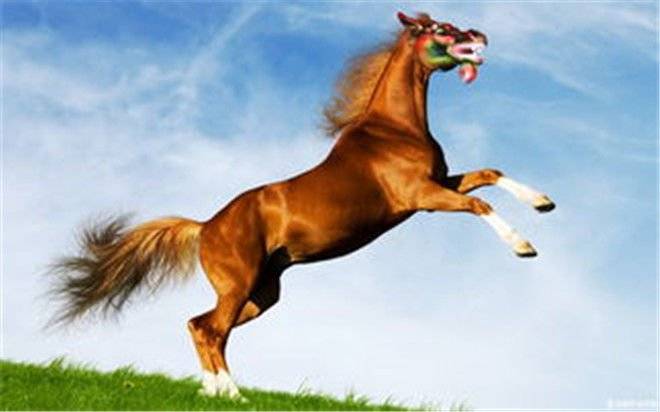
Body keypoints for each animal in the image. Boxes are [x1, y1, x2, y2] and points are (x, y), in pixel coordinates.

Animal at [49, 11, 555, 399]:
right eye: (443, 31)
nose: (481, 37)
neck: (394, 129)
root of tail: (205, 225)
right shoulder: (422, 196)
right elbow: (479, 206)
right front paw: (524, 246)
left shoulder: (439, 184)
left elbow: (489, 173)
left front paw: (543, 202)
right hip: (239, 286)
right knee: (210, 330)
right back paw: (234, 395)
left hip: (261, 294)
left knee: (200, 325)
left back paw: (212, 392)